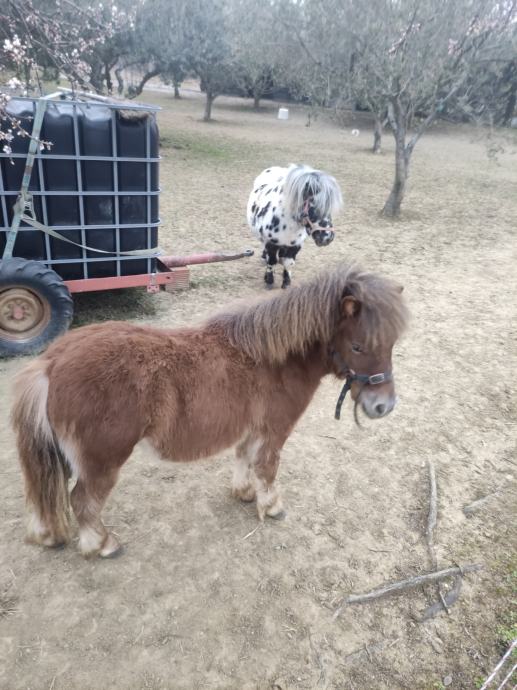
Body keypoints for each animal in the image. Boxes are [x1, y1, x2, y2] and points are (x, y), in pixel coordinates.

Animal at [12, 263, 407, 559]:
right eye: (358, 346)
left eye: (391, 344)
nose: (383, 406)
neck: (273, 360)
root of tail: (51, 362)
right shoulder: (275, 430)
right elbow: (267, 469)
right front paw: (272, 507)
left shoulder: (251, 428)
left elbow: (244, 459)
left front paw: (244, 494)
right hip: (101, 461)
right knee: (82, 500)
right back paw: (102, 545)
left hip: (62, 455)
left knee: (46, 491)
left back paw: (48, 536)